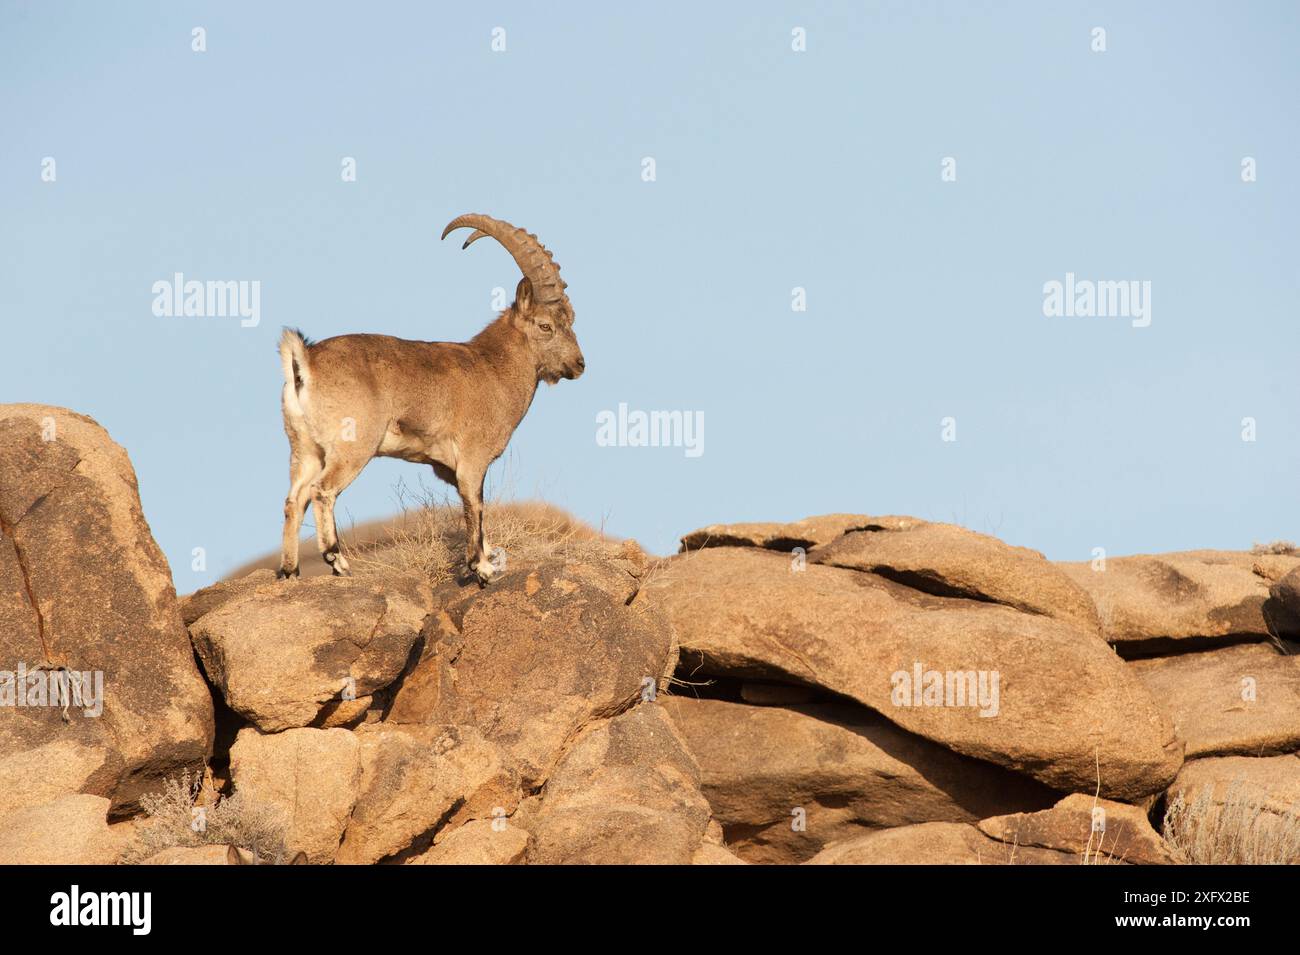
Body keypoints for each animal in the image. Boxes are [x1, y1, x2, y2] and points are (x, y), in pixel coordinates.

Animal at [275, 214, 584, 584]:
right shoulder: (472, 459)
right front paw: (481, 567)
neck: (494, 367)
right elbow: (475, 506)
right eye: (545, 325)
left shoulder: (446, 467)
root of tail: (305, 362)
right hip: (353, 445)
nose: (579, 364)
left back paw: (289, 571)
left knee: (294, 499)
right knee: (322, 491)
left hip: (304, 447)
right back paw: (338, 561)